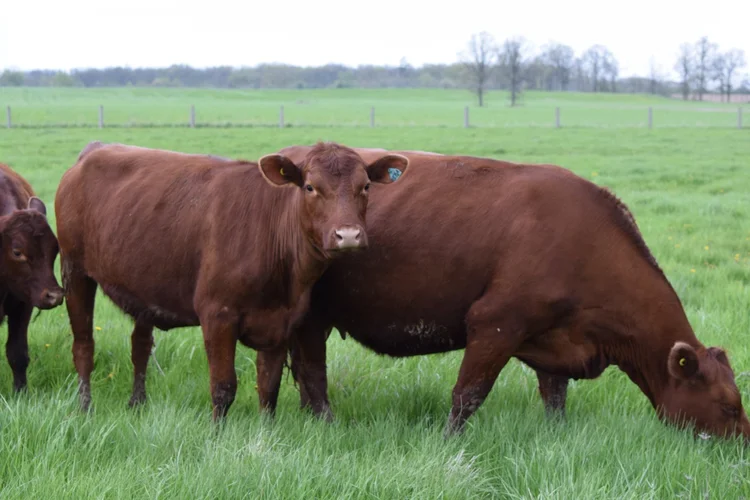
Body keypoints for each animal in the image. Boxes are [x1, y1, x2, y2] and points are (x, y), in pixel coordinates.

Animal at [0, 163, 64, 392]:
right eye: (17, 252)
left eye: (55, 249)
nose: (54, 296)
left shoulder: (23, 304)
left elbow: (17, 353)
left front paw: (20, 392)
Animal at [53, 141, 409, 420]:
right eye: (310, 187)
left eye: (366, 186)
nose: (348, 235)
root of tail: (93, 152)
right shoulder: (217, 316)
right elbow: (224, 386)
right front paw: (217, 436)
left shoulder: (282, 322)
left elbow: (269, 386)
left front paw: (267, 433)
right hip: (75, 271)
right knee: (83, 345)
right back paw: (85, 408)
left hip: (143, 288)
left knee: (139, 346)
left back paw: (137, 404)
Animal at [258, 144, 750, 442]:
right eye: (728, 406)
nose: (743, 446)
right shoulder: (495, 323)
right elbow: (468, 394)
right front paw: (447, 444)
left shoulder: (556, 335)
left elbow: (555, 395)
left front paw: (557, 437)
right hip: (311, 318)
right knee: (313, 375)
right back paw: (325, 425)